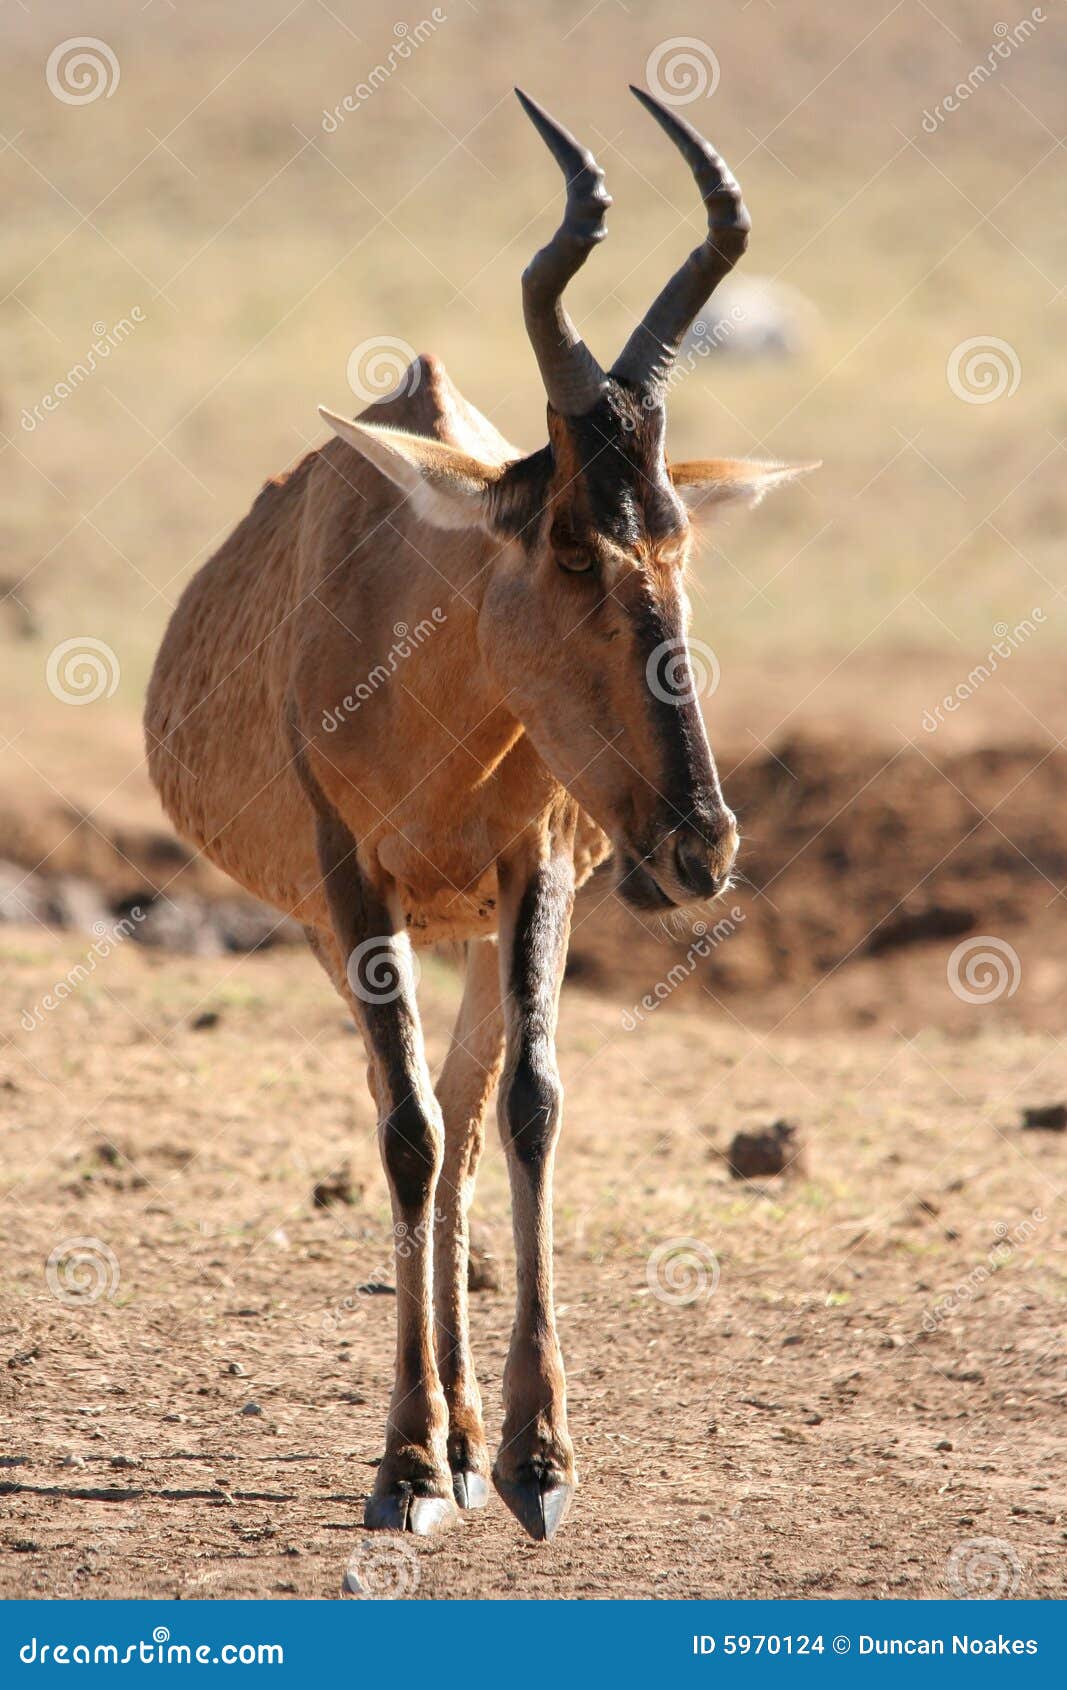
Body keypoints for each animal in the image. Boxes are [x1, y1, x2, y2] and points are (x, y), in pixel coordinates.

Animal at [145, 86, 815, 1542]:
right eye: (566, 538)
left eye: (676, 535)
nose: (699, 844)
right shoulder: (350, 883)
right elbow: (398, 1124)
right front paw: (404, 1463)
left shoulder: (535, 868)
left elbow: (528, 1108)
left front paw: (532, 1457)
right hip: (362, 924)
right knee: (411, 1112)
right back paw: (436, 1442)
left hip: (482, 918)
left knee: (464, 1110)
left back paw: (466, 1438)